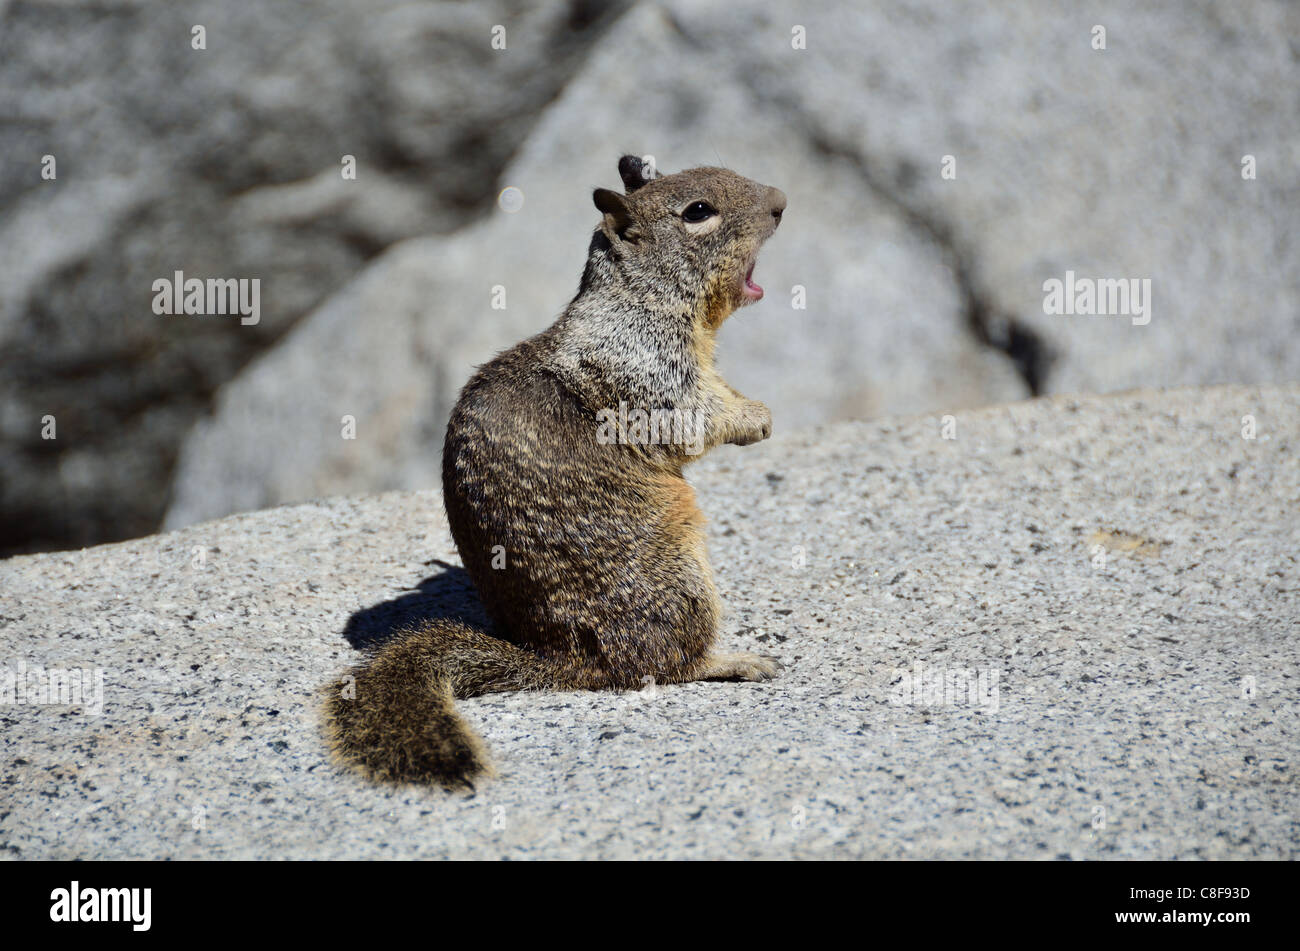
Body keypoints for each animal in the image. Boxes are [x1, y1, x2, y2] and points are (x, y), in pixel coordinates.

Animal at [326, 155, 787, 789]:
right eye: (698, 212)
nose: (782, 201)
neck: (638, 299)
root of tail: (562, 660)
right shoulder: (645, 368)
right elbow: (691, 416)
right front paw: (757, 418)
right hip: (681, 584)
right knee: (659, 667)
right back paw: (737, 659)